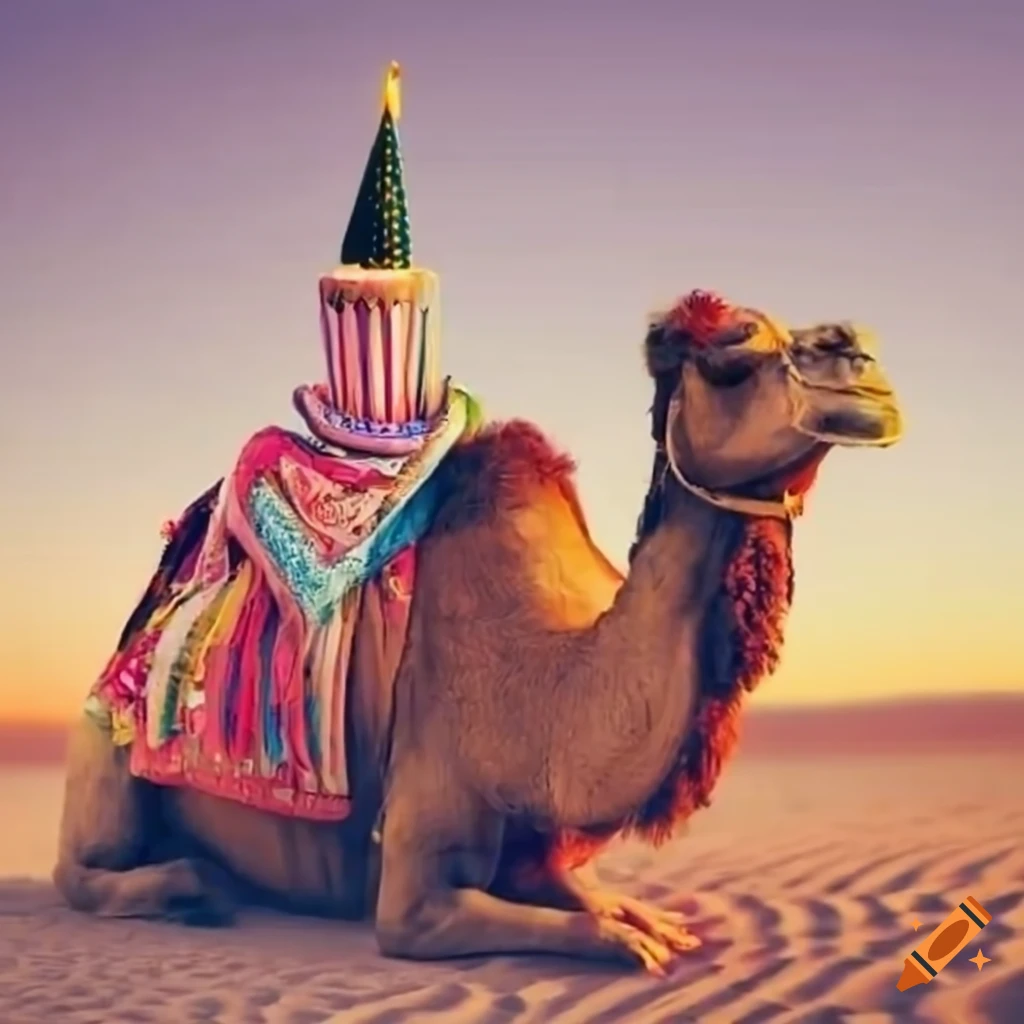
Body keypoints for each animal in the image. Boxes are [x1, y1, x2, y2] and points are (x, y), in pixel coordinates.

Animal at [54, 292, 903, 973]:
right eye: (733, 348)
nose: (863, 359)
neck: (544, 687)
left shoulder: (543, 843)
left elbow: (595, 898)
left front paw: (651, 919)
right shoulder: (414, 889)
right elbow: (582, 929)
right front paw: (636, 939)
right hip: (103, 758)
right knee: (81, 872)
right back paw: (195, 887)